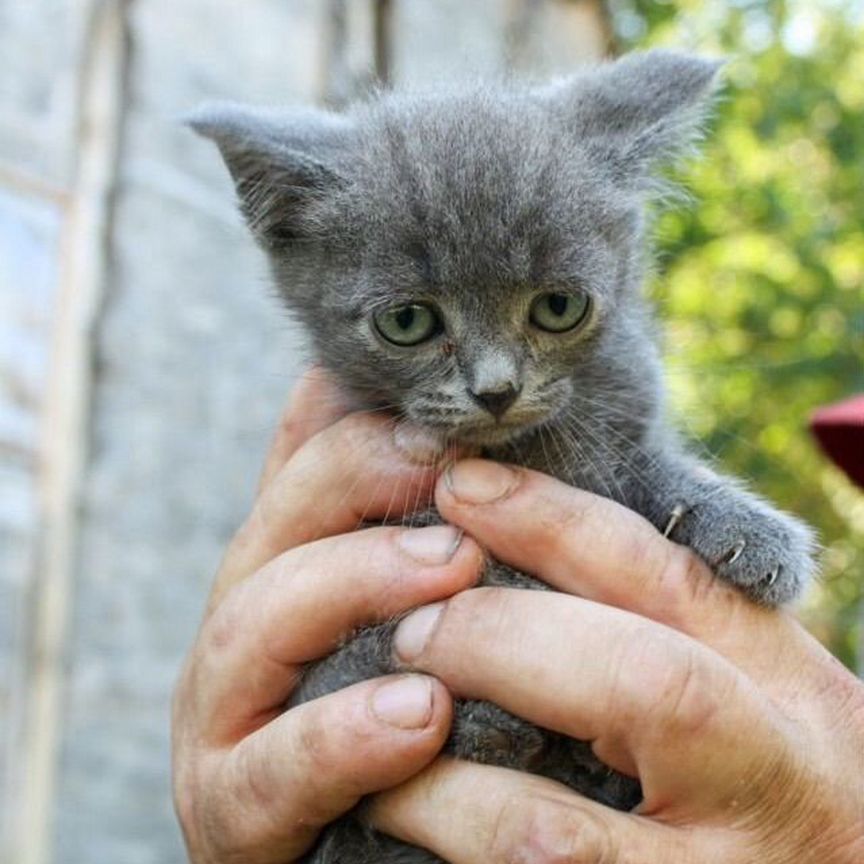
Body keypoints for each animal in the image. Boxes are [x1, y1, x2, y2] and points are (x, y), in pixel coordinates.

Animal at [191, 50, 816, 860]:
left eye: (558, 307)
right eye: (407, 321)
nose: (495, 390)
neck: (516, 452)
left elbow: (643, 464)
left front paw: (746, 530)